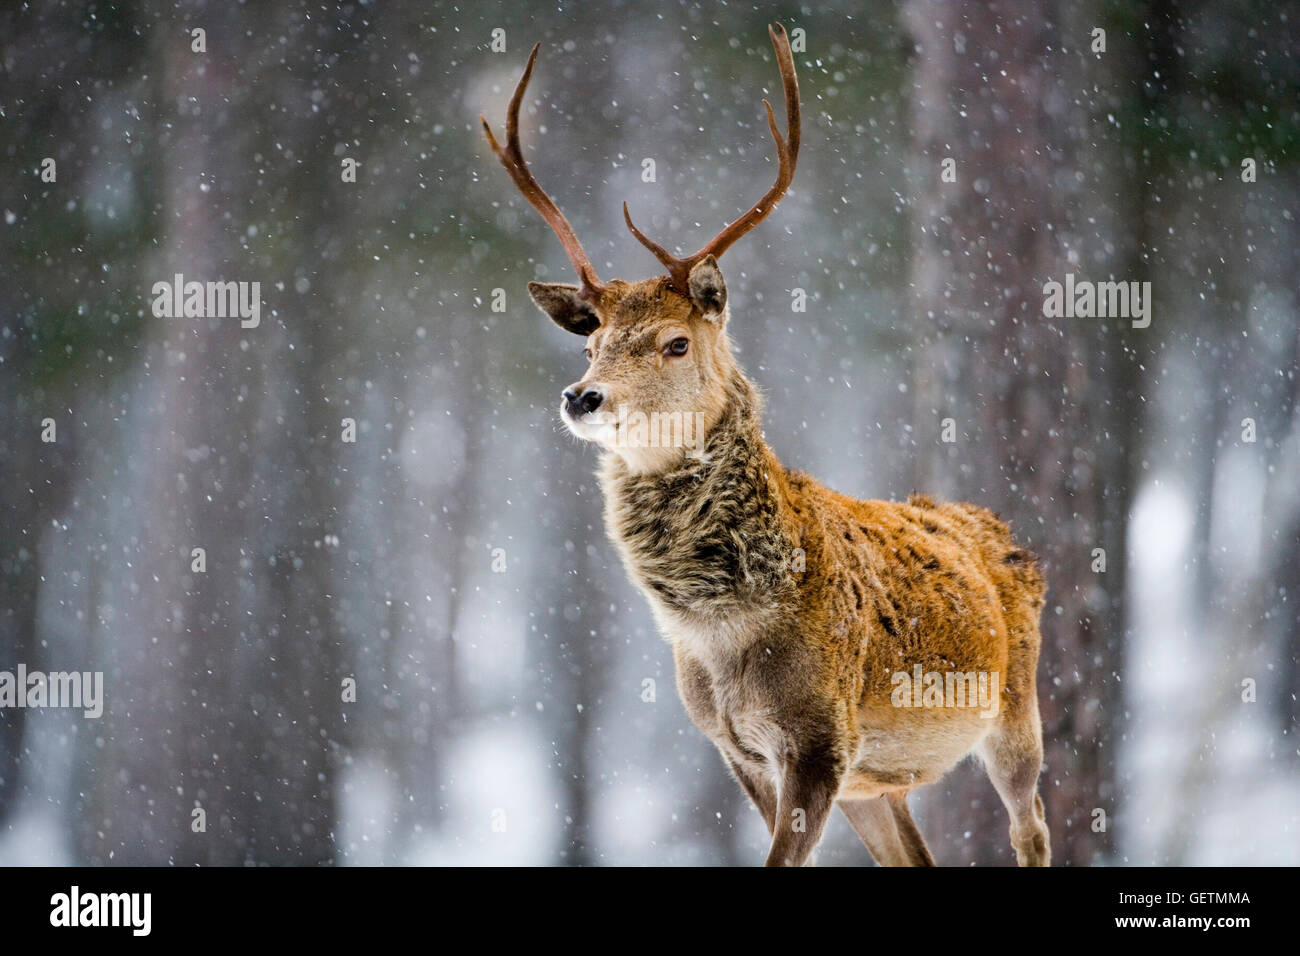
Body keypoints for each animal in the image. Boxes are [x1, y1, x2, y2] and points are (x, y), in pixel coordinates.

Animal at [482, 23, 1051, 867]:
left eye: (676, 342)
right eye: (592, 345)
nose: (582, 396)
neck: (722, 632)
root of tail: (1003, 533)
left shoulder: (820, 735)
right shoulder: (737, 748)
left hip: (1015, 709)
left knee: (1032, 824)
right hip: (880, 785)